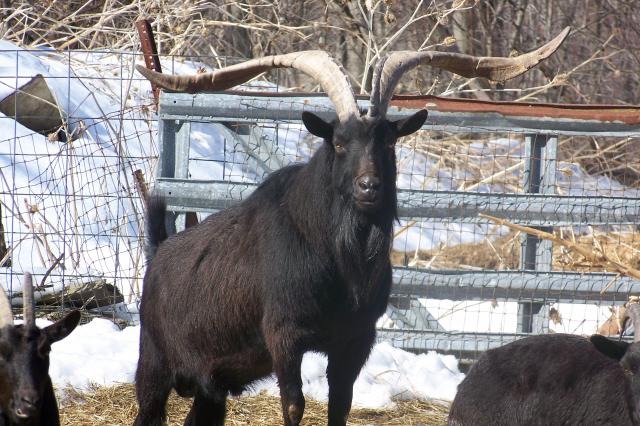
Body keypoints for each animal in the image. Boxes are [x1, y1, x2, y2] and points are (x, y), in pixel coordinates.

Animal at [134, 27, 570, 426]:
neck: (340, 259)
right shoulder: (283, 335)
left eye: (389, 141)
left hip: (213, 383)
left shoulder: (356, 339)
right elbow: (293, 406)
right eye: (340, 142)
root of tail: (160, 252)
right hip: (154, 363)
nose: (369, 187)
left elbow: (340, 406)